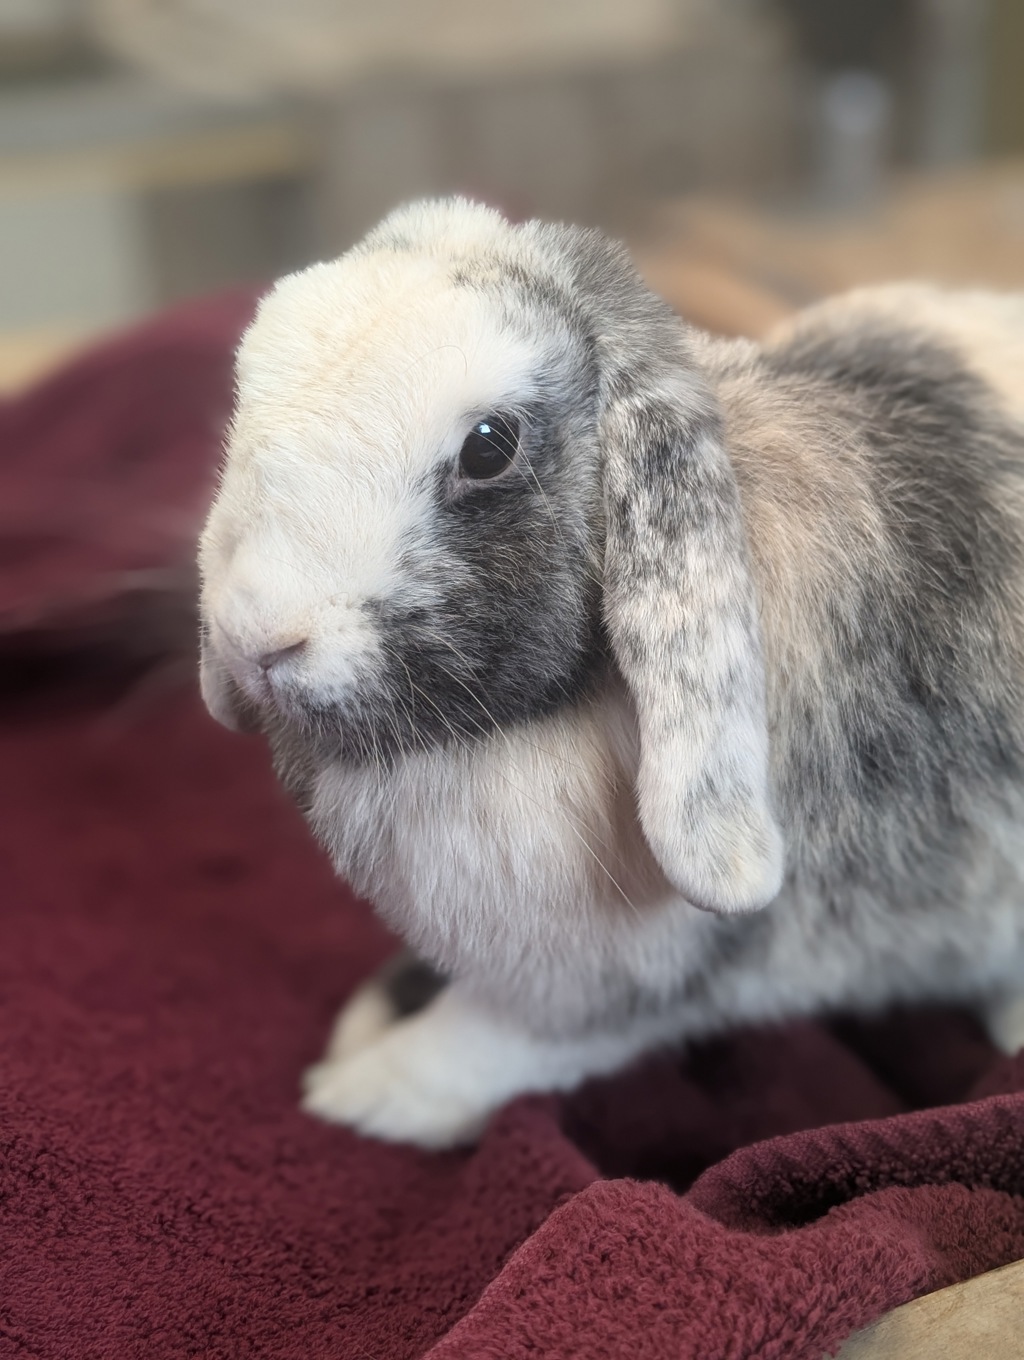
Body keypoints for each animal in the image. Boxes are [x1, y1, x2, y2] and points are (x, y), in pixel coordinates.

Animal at [198, 197, 1024, 1148]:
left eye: (490, 446)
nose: (256, 636)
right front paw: (376, 1013)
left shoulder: (613, 990)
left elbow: (489, 1042)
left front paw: (363, 1093)